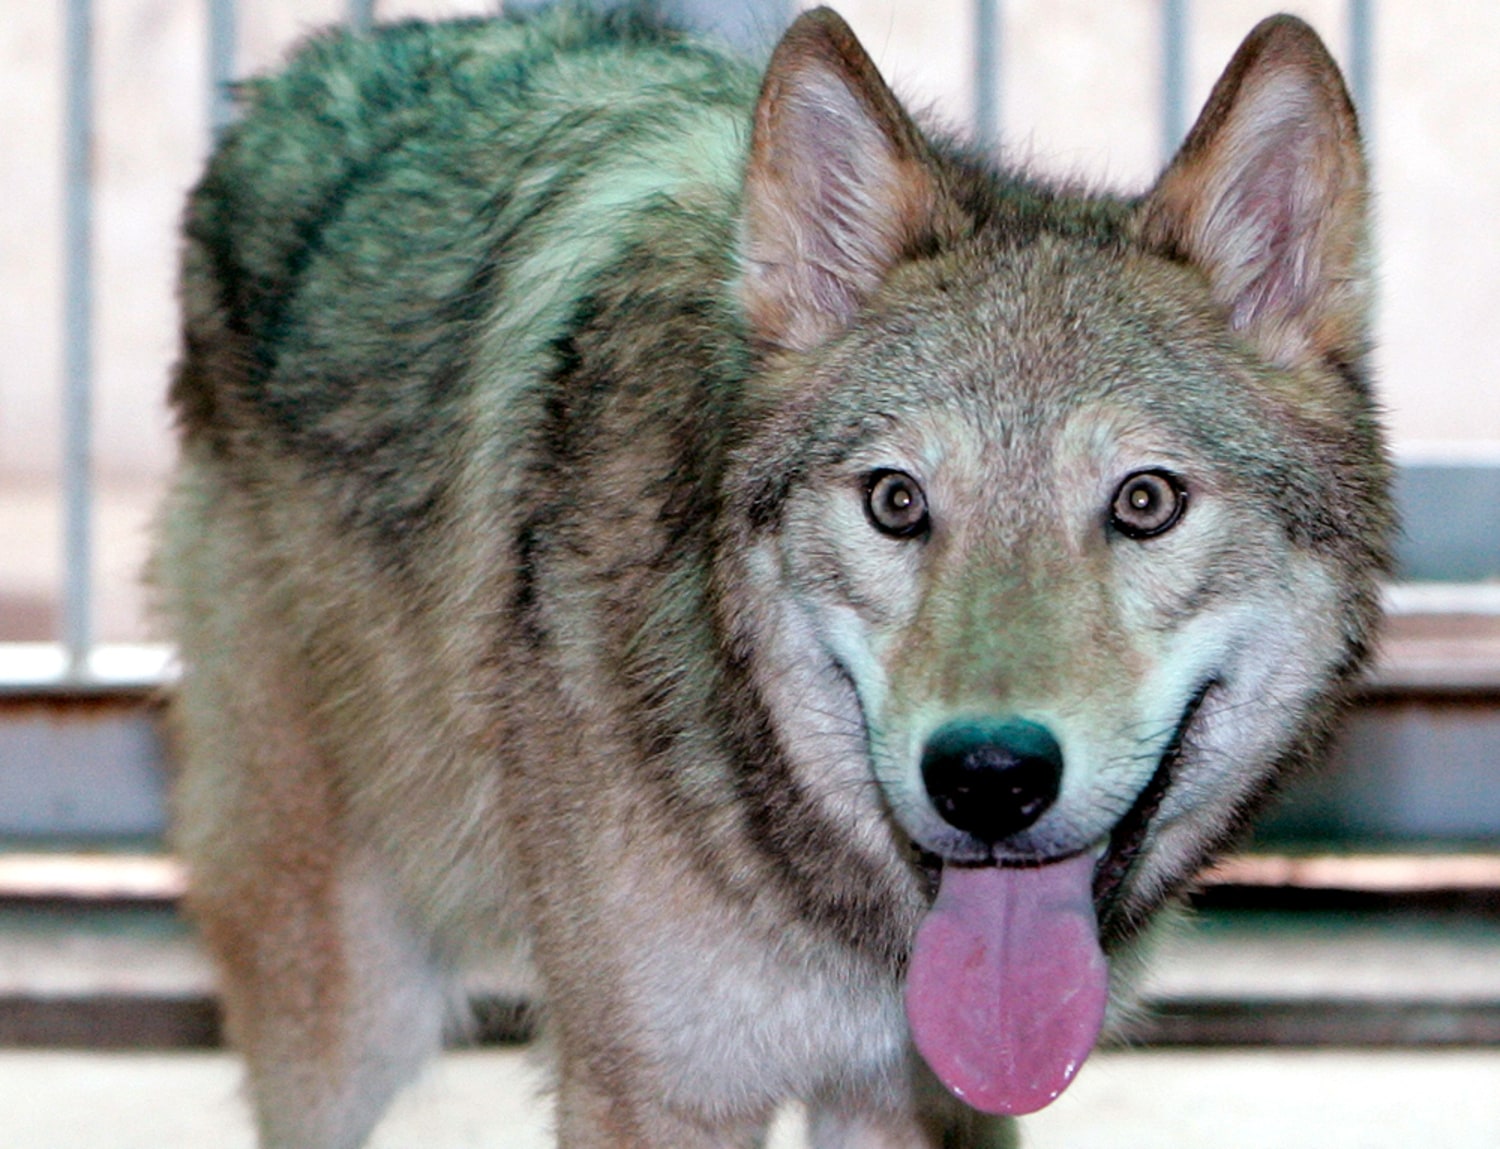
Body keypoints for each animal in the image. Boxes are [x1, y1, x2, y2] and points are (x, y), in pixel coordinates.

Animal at [155, 4, 1390, 1146]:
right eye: (897, 502)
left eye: (1145, 502)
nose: (987, 776)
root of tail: (298, 75)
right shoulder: (654, 1097)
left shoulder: (915, 1100)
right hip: (351, 1013)